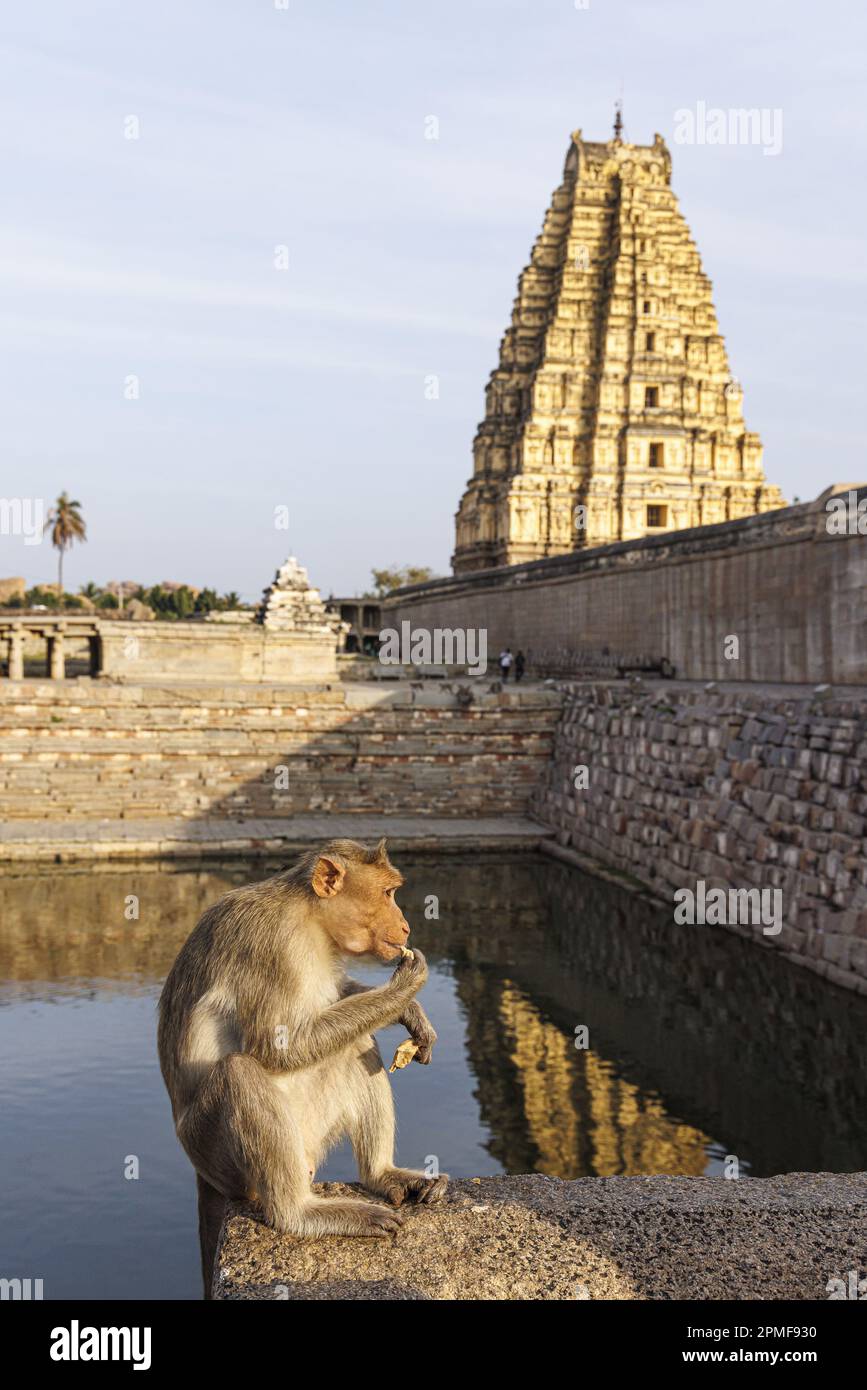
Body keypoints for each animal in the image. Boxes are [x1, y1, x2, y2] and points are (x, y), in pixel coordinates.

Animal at [157, 838, 447, 1294]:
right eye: (387, 893)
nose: (404, 927)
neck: (311, 920)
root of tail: (200, 1171)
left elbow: (338, 996)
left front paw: (412, 1013)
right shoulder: (272, 945)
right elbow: (277, 1047)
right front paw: (405, 987)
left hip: (309, 1135)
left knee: (355, 1043)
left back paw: (382, 1175)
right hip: (217, 1153)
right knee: (239, 1072)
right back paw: (299, 1213)